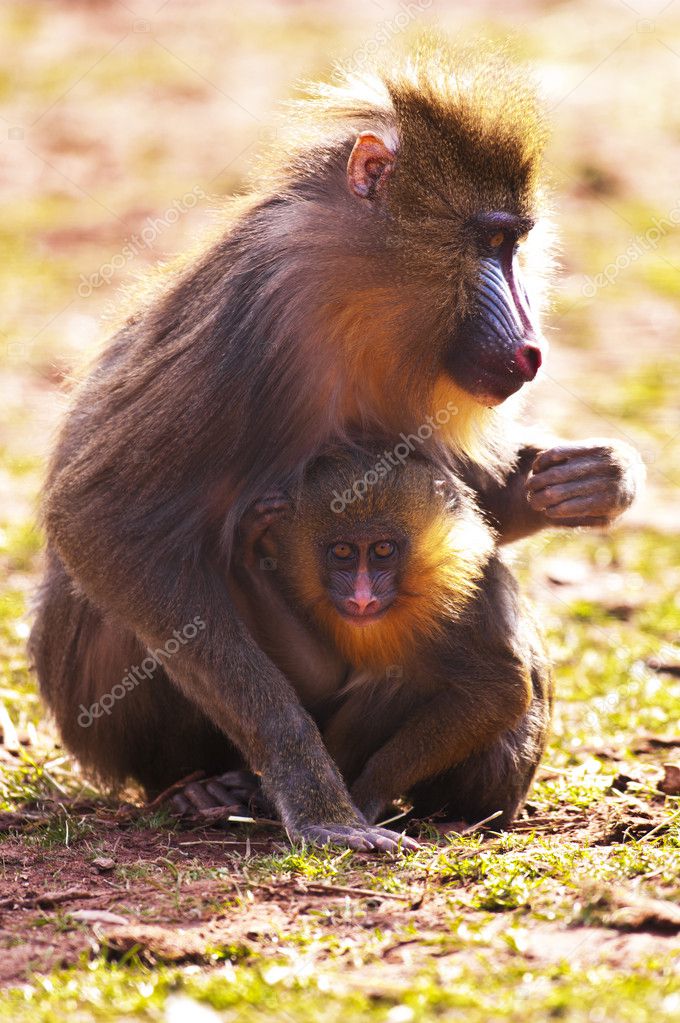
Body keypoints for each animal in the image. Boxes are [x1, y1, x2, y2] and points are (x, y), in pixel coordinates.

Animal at [32, 44, 641, 850]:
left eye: (515, 246)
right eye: (489, 242)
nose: (530, 347)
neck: (357, 277)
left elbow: (464, 506)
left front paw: (589, 480)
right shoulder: (260, 309)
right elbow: (100, 519)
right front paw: (317, 801)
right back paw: (202, 786)